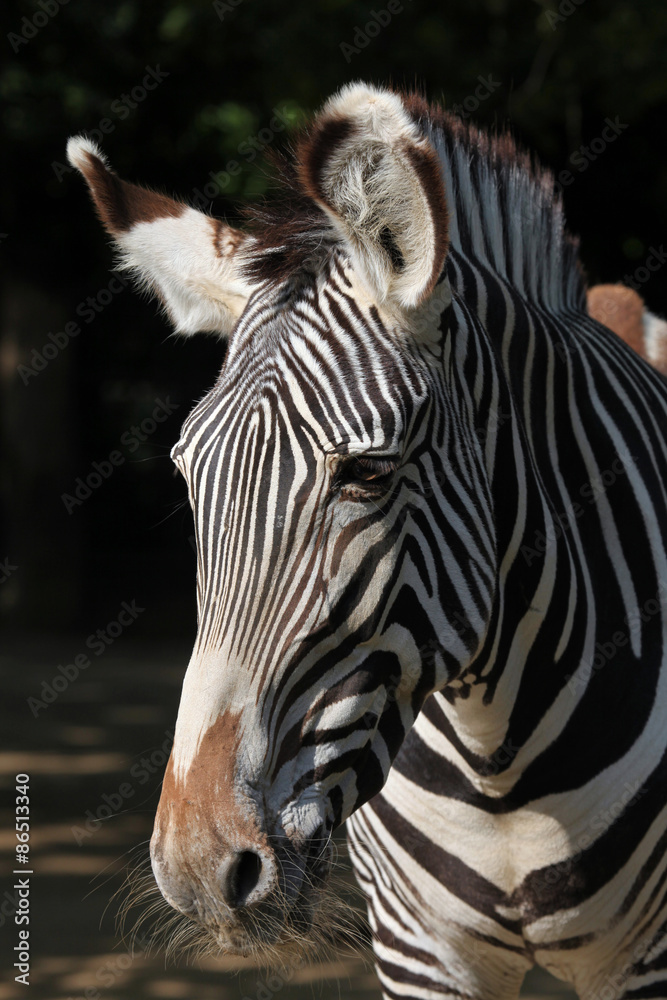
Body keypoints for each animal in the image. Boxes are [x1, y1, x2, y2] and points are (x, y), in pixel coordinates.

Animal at [67, 82, 667, 1000]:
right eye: (188, 476)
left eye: (368, 475)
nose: (201, 868)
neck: (500, 767)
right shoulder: (419, 953)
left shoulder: (644, 960)